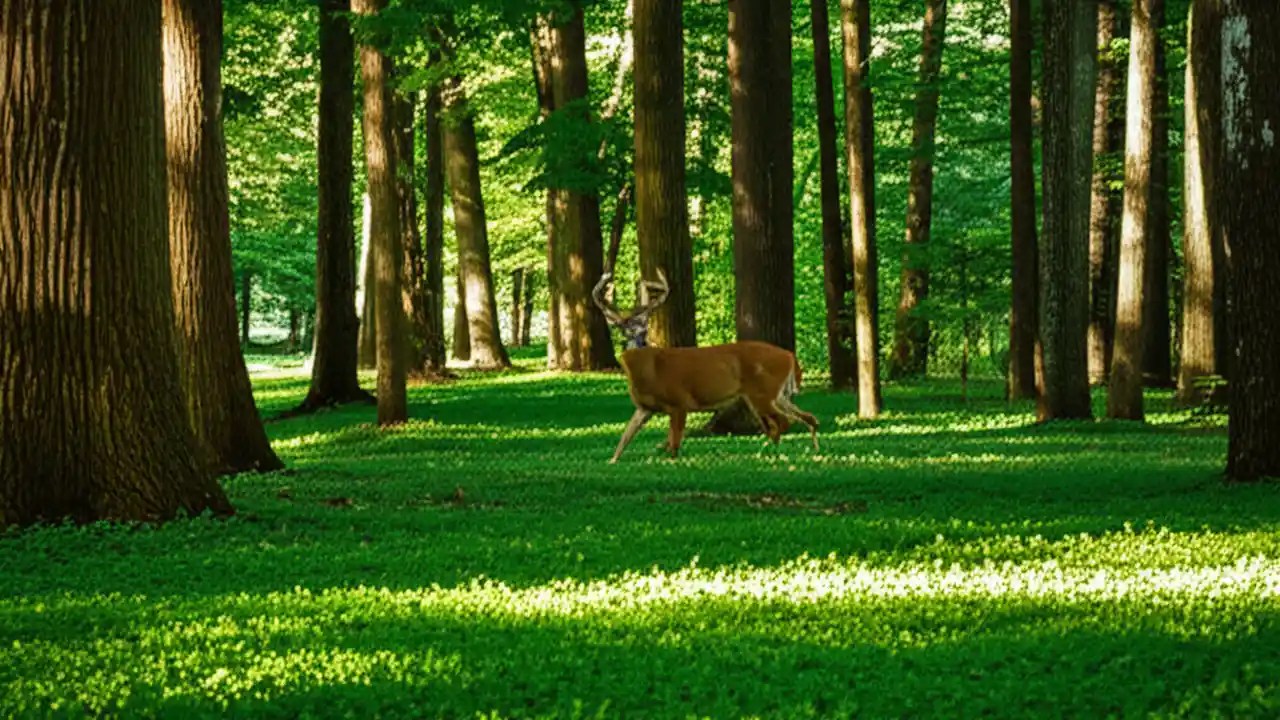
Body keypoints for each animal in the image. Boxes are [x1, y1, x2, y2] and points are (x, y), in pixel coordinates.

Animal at [592, 269, 818, 462]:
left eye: (643, 321)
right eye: (623, 325)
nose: (637, 333)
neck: (651, 371)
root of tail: (790, 356)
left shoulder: (679, 402)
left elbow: (674, 443)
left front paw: (669, 460)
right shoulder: (644, 408)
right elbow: (625, 438)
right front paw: (612, 461)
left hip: (762, 392)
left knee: (783, 423)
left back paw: (772, 455)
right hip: (774, 395)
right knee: (807, 418)